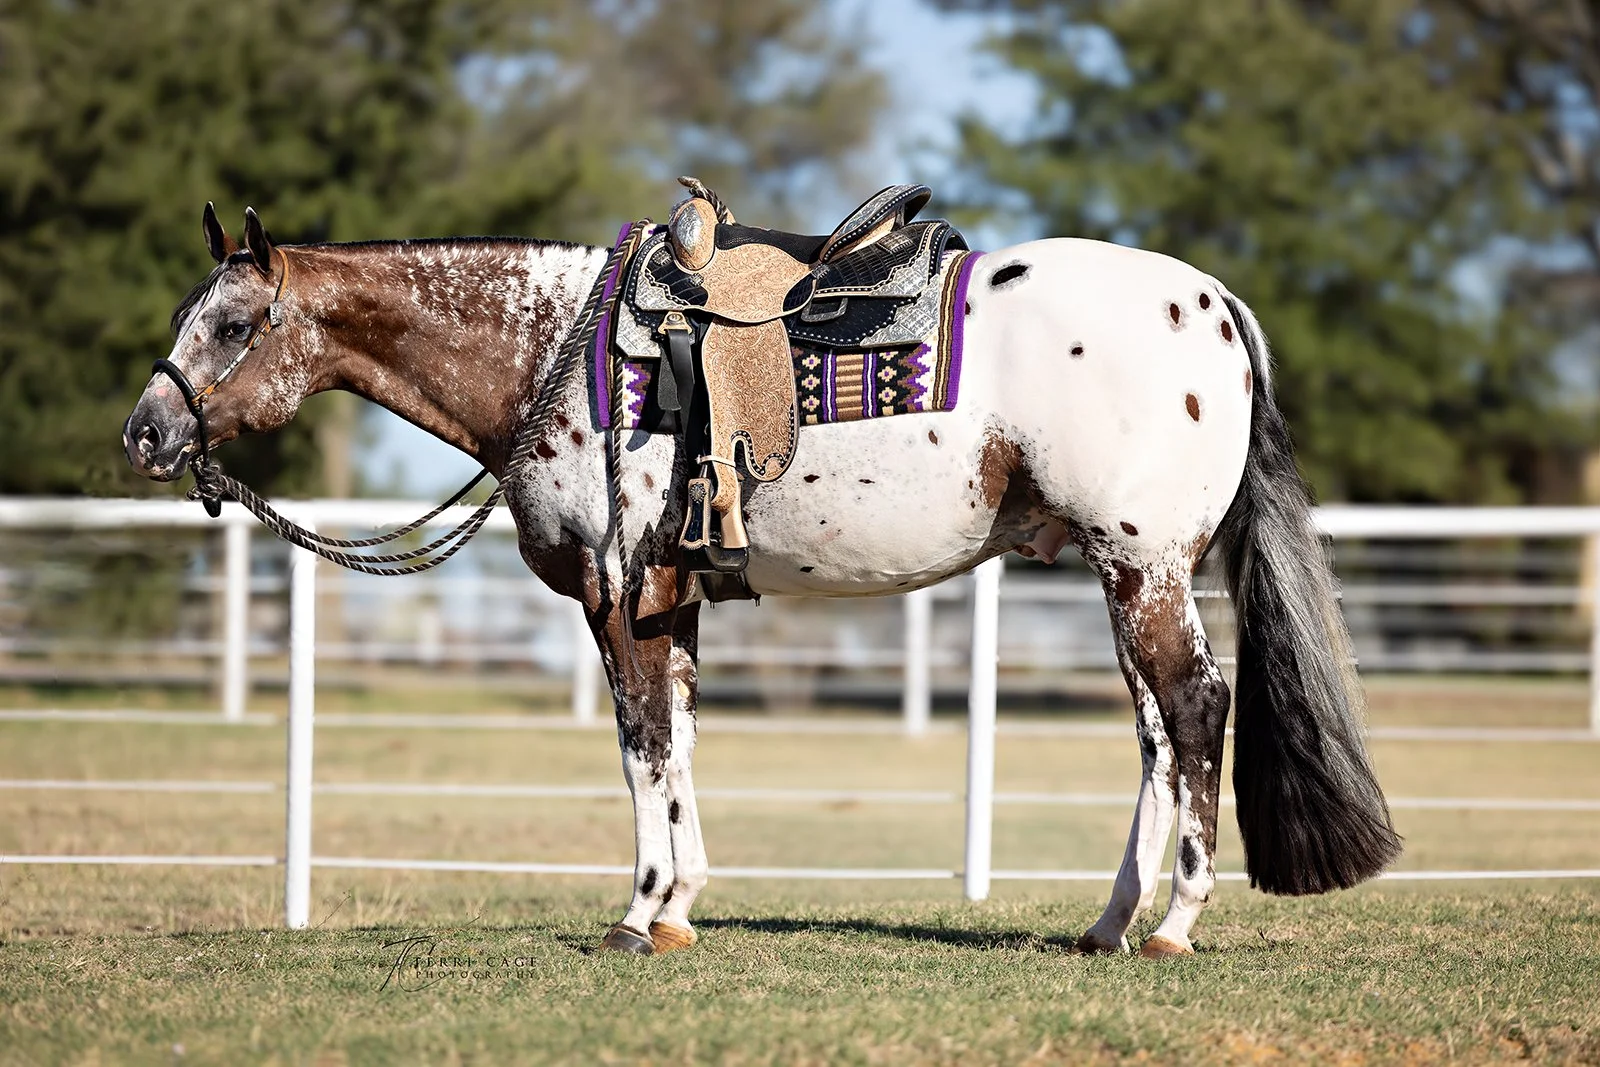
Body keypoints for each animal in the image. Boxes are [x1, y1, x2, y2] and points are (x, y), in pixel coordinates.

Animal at [123, 204, 1400, 958]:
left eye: (231, 323)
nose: (144, 433)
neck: (558, 350)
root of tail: (1214, 306)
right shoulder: (671, 596)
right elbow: (680, 745)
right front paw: (682, 905)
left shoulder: (617, 596)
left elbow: (641, 744)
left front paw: (640, 910)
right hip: (1124, 572)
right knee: (1152, 734)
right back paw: (1108, 922)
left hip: (1142, 566)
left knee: (1193, 710)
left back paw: (1174, 922)